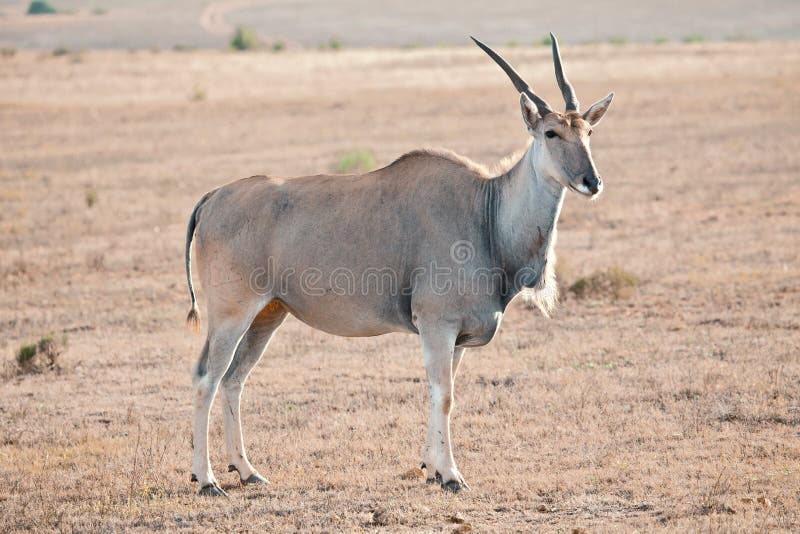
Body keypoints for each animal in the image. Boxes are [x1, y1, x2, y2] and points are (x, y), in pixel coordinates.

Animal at [184, 33, 614, 496]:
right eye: (551, 132)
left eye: (588, 132)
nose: (591, 181)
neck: (485, 211)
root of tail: (213, 197)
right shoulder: (438, 326)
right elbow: (445, 396)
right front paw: (452, 475)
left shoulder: (455, 338)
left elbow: (439, 393)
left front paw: (432, 468)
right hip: (231, 314)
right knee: (207, 379)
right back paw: (207, 479)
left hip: (267, 314)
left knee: (234, 379)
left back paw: (247, 470)